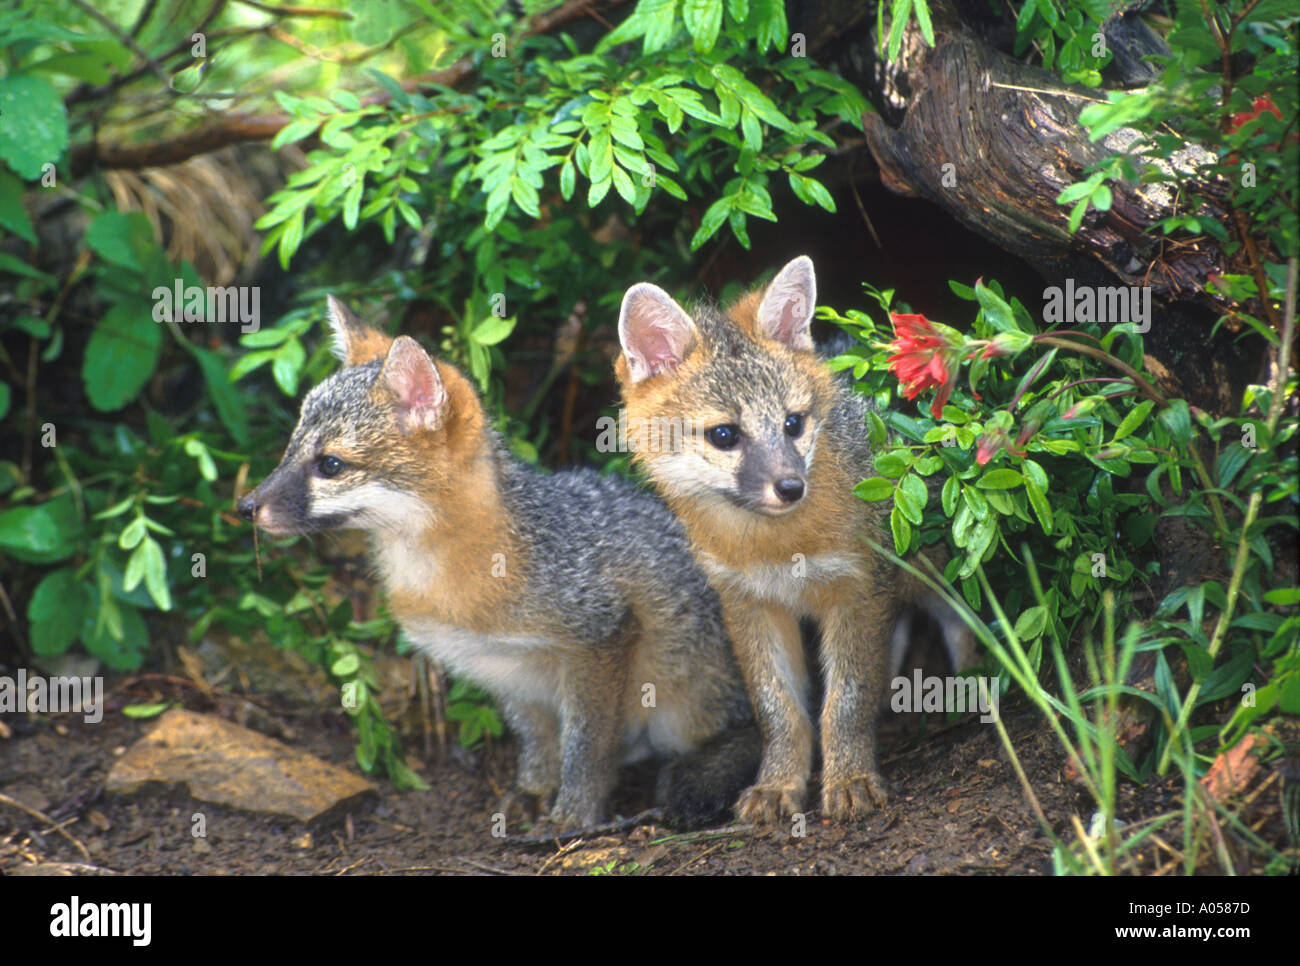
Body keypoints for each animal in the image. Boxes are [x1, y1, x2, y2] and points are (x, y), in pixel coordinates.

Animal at [239, 297, 759, 830]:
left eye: (330, 465)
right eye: (290, 449)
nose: (246, 506)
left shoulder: (601, 637)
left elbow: (587, 745)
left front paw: (573, 816)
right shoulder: (504, 668)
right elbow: (537, 739)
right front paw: (533, 789)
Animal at [614, 256, 973, 824]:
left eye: (792, 423)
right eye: (724, 435)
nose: (790, 487)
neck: (777, 547)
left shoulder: (855, 590)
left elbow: (845, 702)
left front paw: (849, 779)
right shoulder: (750, 604)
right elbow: (780, 711)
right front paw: (778, 784)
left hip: (935, 569)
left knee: (963, 623)